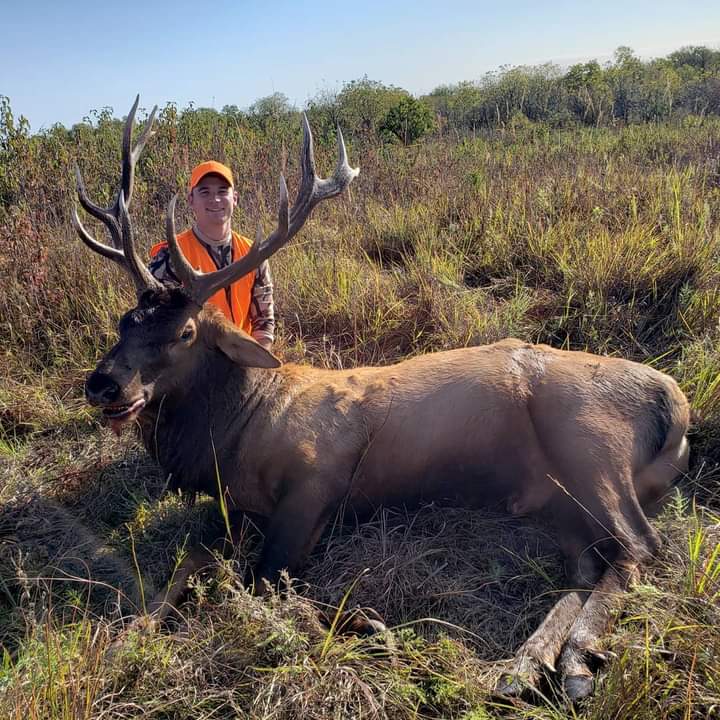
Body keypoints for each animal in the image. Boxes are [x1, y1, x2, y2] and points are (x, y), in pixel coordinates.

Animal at [71, 97, 690, 701]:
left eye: (184, 333)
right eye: (124, 321)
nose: (102, 385)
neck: (238, 433)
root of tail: (674, 404)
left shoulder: (320, 478)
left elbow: (264, 580)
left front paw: (368, 626)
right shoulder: (236, 507)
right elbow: (191, 564)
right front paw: (130, 633)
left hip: (587, 440)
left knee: (640, 545)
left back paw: (577, 660)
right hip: (558, 493)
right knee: (587, 564)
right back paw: (524, 664)